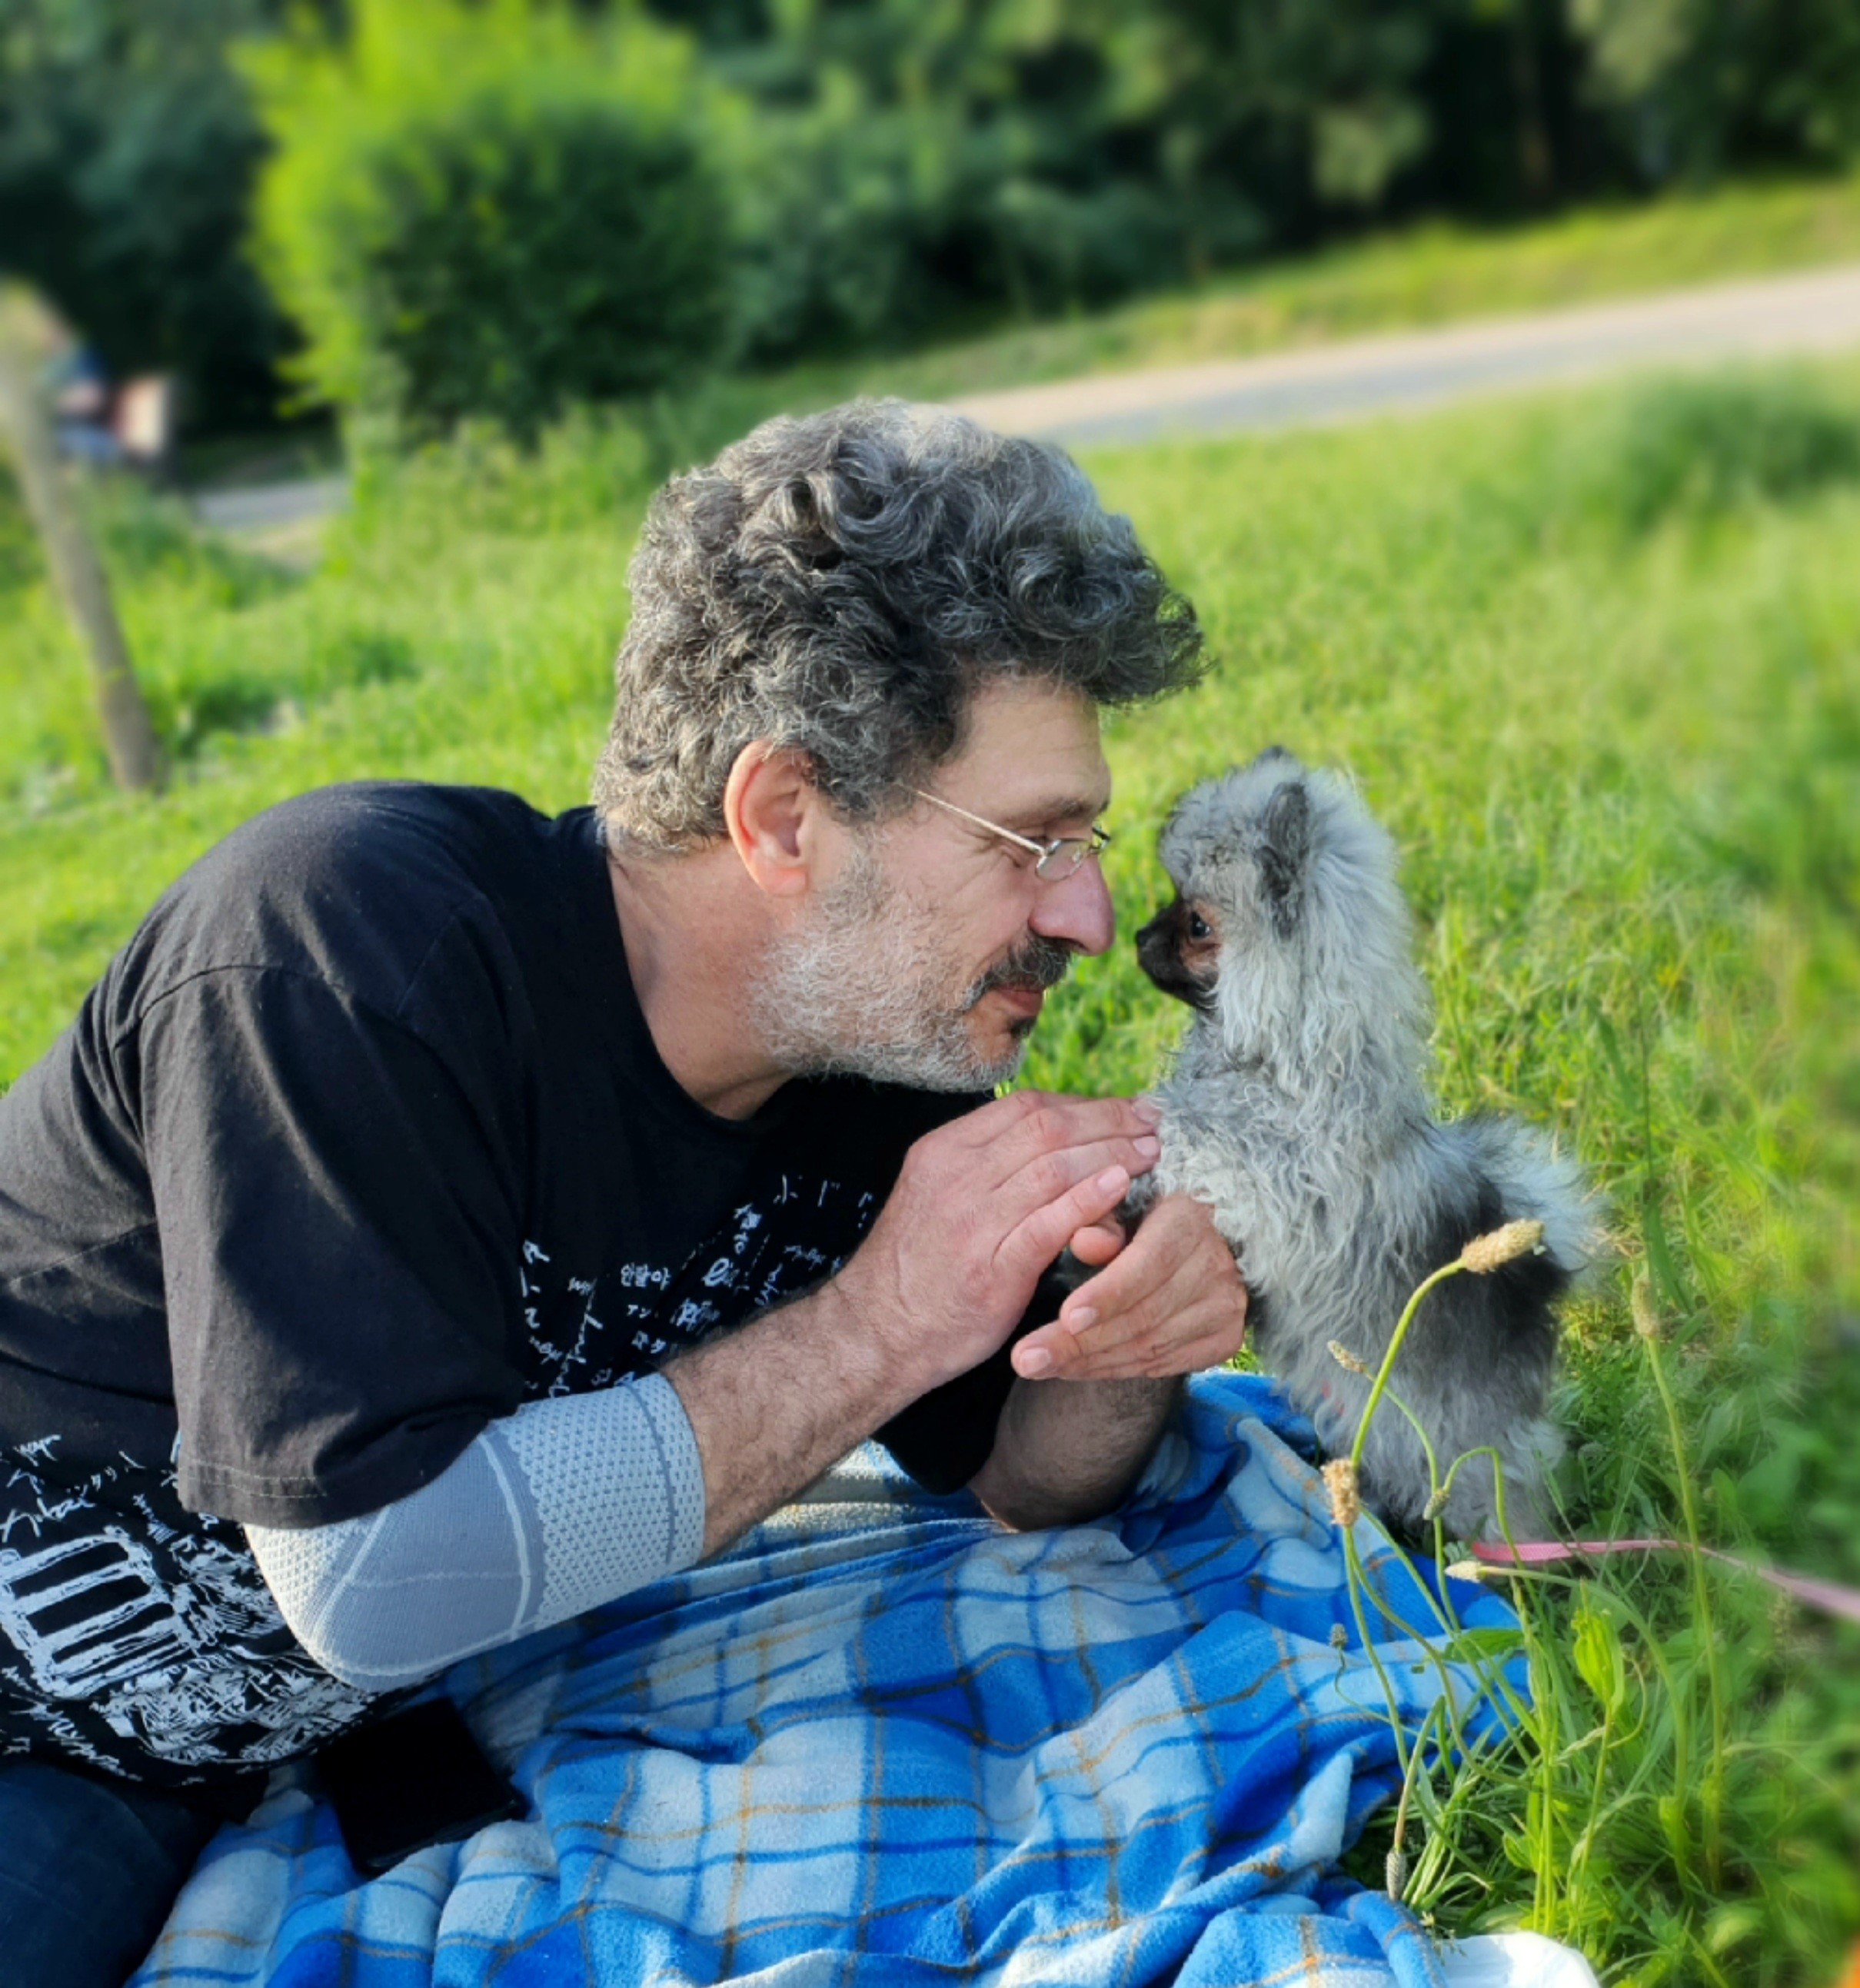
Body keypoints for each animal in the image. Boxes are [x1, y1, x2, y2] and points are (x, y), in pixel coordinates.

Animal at [1130, 747, 1591, 1534]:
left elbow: (1189, 1136)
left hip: (1463, 1458)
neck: (1286, 1056)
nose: (1134, 938)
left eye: (1195, 923)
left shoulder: (1269, 1176)